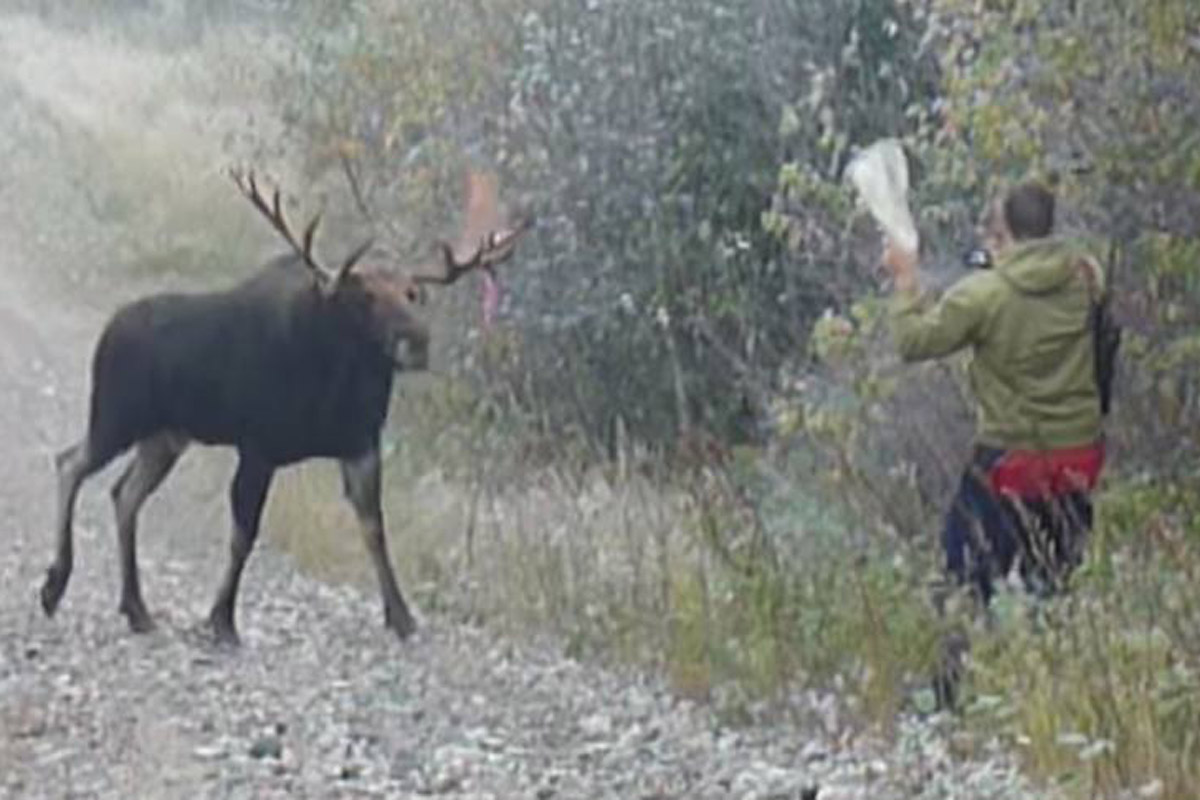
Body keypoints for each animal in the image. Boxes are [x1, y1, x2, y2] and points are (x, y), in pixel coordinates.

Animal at [39, 168, 531, 645]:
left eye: (413, 293)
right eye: (366, 297)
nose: (417, 341)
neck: (337, 387)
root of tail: (108, 332)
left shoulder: (361, 446)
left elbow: (375, 530)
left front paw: (402, 617)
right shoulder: (258, 446)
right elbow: (243, 534)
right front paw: (222, 620)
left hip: (165, 437)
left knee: (123, 494)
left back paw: (136, 609)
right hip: (116, 416)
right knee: (70, 463)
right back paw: (54, 585)